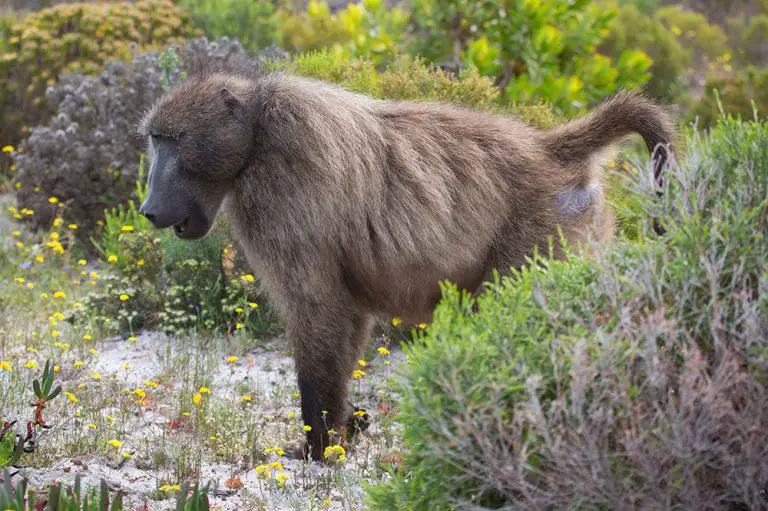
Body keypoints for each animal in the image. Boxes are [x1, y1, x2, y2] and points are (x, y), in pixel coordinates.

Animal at [137, 65, 675, 461]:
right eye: (155, 140)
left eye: (173, 141)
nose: (148, 209)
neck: (257, 131)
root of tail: (548, 149)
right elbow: (347, 318)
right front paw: (345, 430)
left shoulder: (283, 189)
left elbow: (317, 309)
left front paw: (315, 448)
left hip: (541, 233)